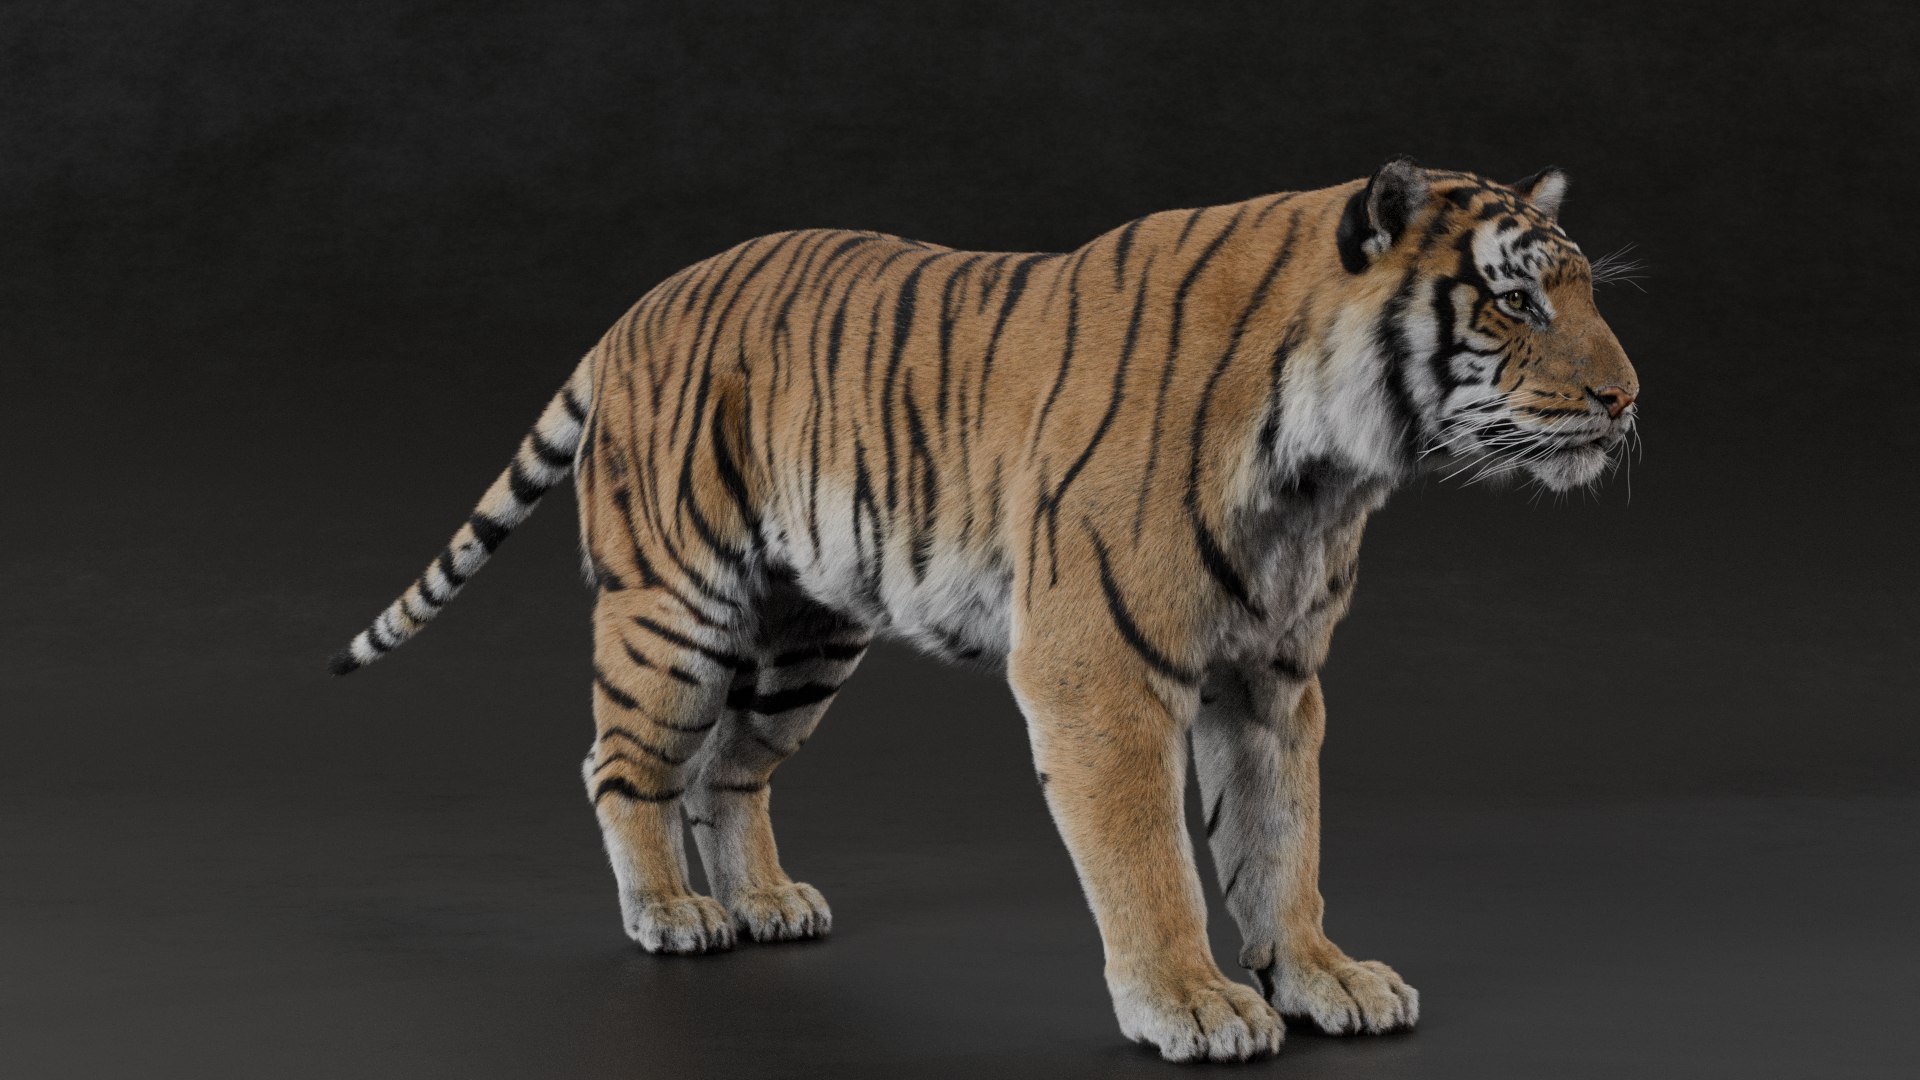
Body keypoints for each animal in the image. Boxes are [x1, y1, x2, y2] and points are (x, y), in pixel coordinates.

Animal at [328, 158, 1639, 1062]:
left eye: (1582, 294)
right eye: (1518, 305)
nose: (1629, 399)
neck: (1325, 469)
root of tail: (635, 308)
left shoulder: (1275, 677)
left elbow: (1283, 845)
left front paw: (1322, 976)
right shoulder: (1100, 672)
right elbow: (1151, 858)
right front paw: (1192, 1003)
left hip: (809, 635)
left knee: (729, 771)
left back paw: (763, 902)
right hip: (676, 607)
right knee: (625, 763)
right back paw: (671, 911)